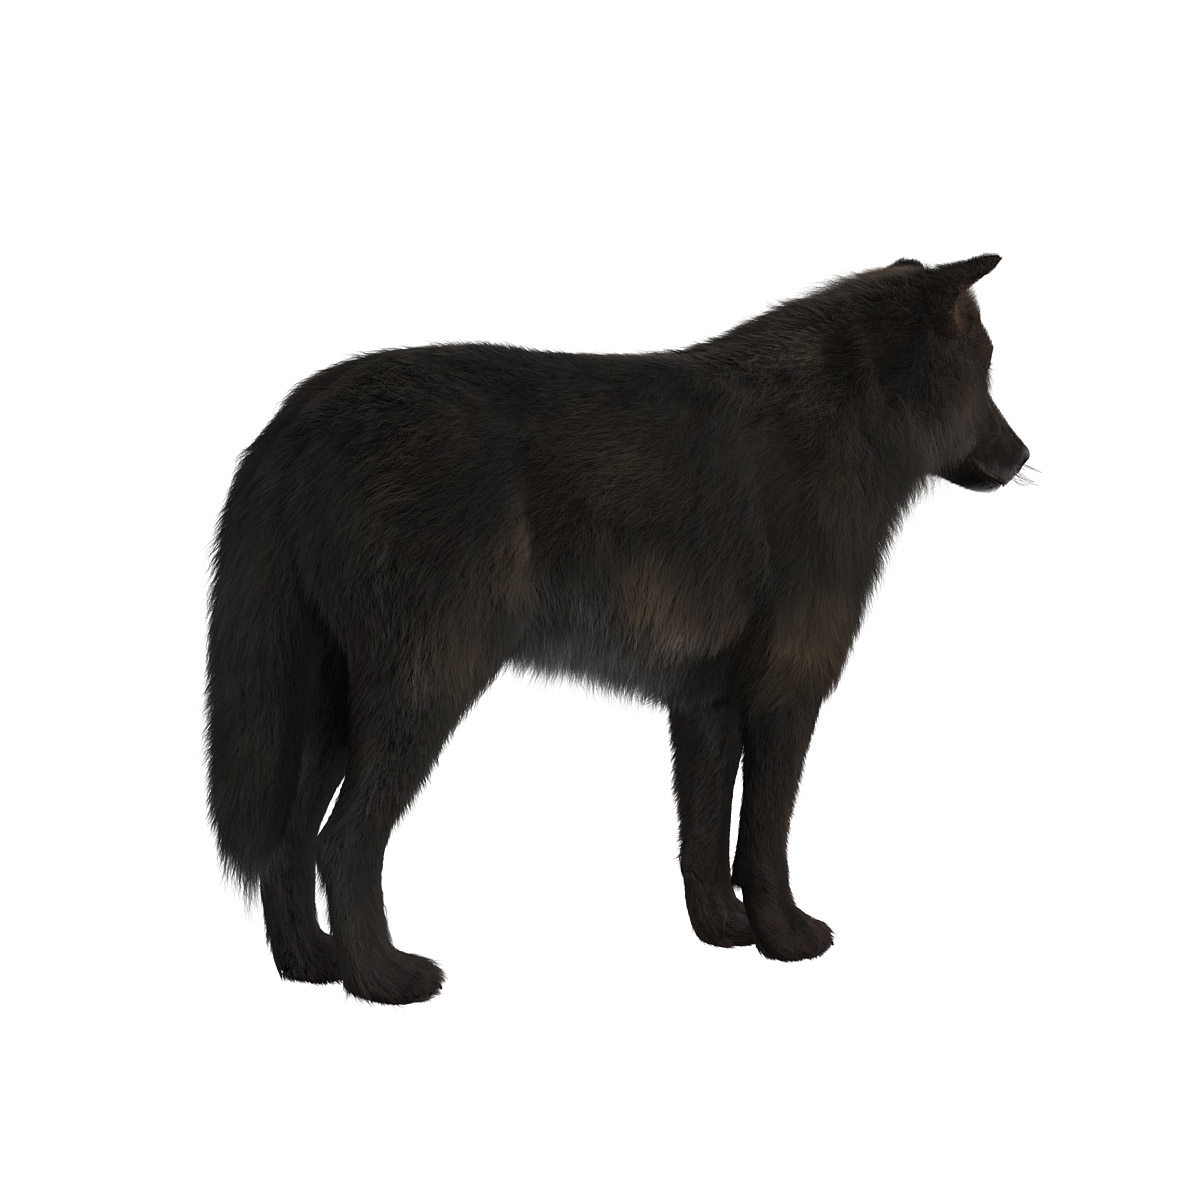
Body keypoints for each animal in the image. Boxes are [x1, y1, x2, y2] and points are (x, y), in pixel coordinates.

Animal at [206, 255, 1029, 1004]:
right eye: (983, 369)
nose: (1023, 455)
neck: (837, 422)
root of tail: (298, 416)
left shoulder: (705, 705)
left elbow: (704, 834)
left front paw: (724, 931)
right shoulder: (784, 699)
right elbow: (764, 838)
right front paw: (786, 939)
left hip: (330, 712)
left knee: (288, 839)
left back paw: (310, 964)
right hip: (421, 694)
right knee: (342, 843)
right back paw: (382, 979)